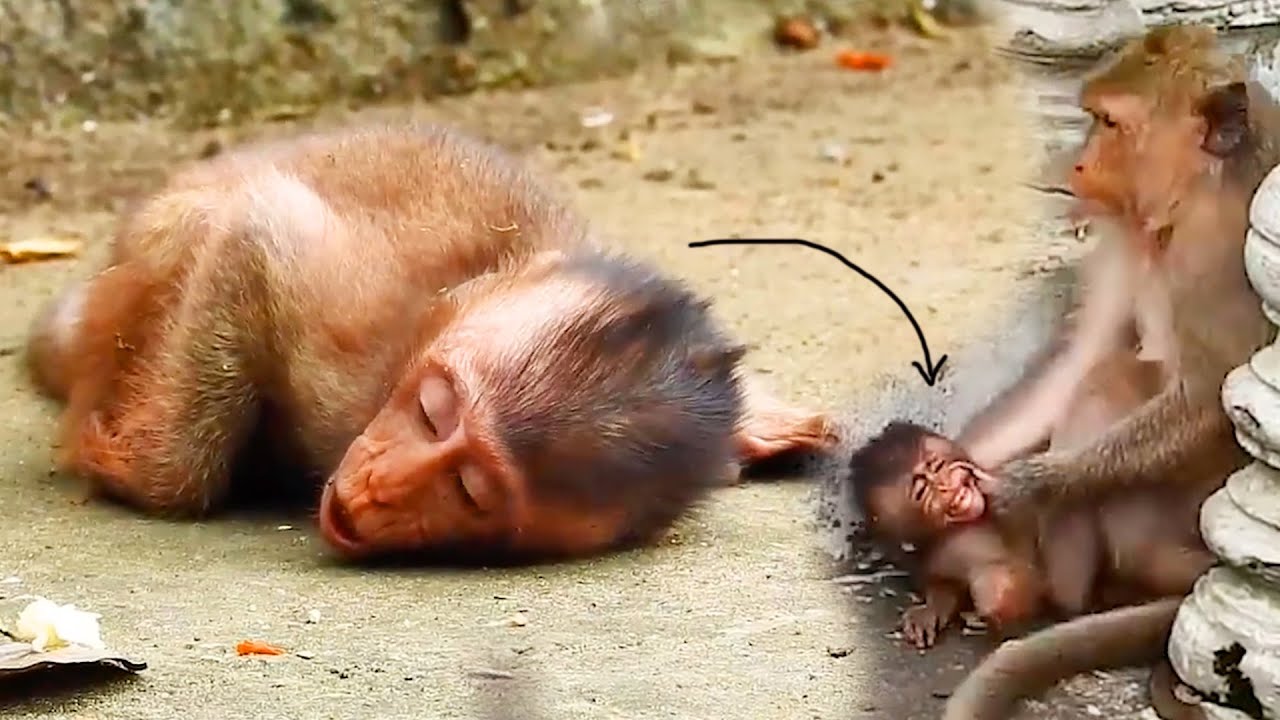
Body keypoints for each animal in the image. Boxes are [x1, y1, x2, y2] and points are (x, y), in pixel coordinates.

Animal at [24, 123, 839, 565]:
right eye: (432, 412)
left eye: (469, 491)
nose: (379, 488)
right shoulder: (347, 335)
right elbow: (259, 232)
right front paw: (144, 468)